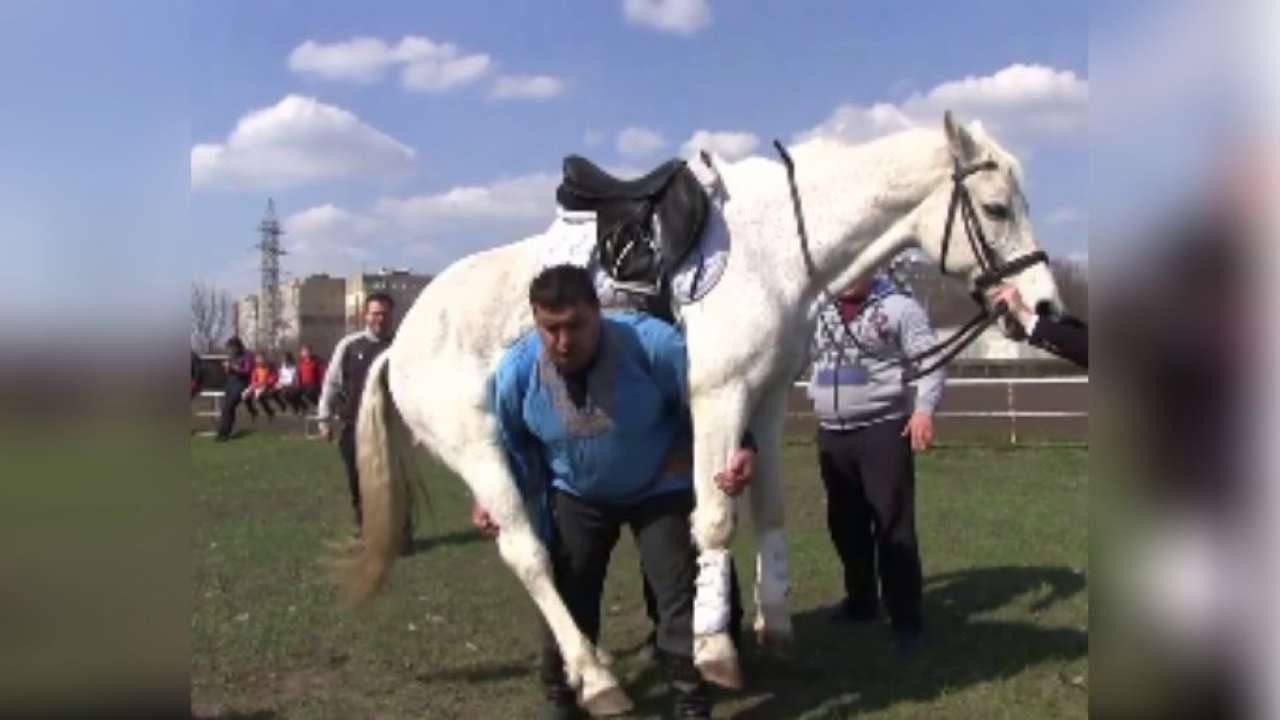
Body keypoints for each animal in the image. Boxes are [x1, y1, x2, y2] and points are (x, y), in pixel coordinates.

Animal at [335, 111, 1062, 715]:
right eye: (996, 207)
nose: (1045, 305)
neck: (776, 250)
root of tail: (400, 340)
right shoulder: (720, 393)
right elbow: (712, 520)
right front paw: (714, 649)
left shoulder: (766, 400)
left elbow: (767, 510)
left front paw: (774, 627)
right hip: (481, 452)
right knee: (530, 555)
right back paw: (594, 677)